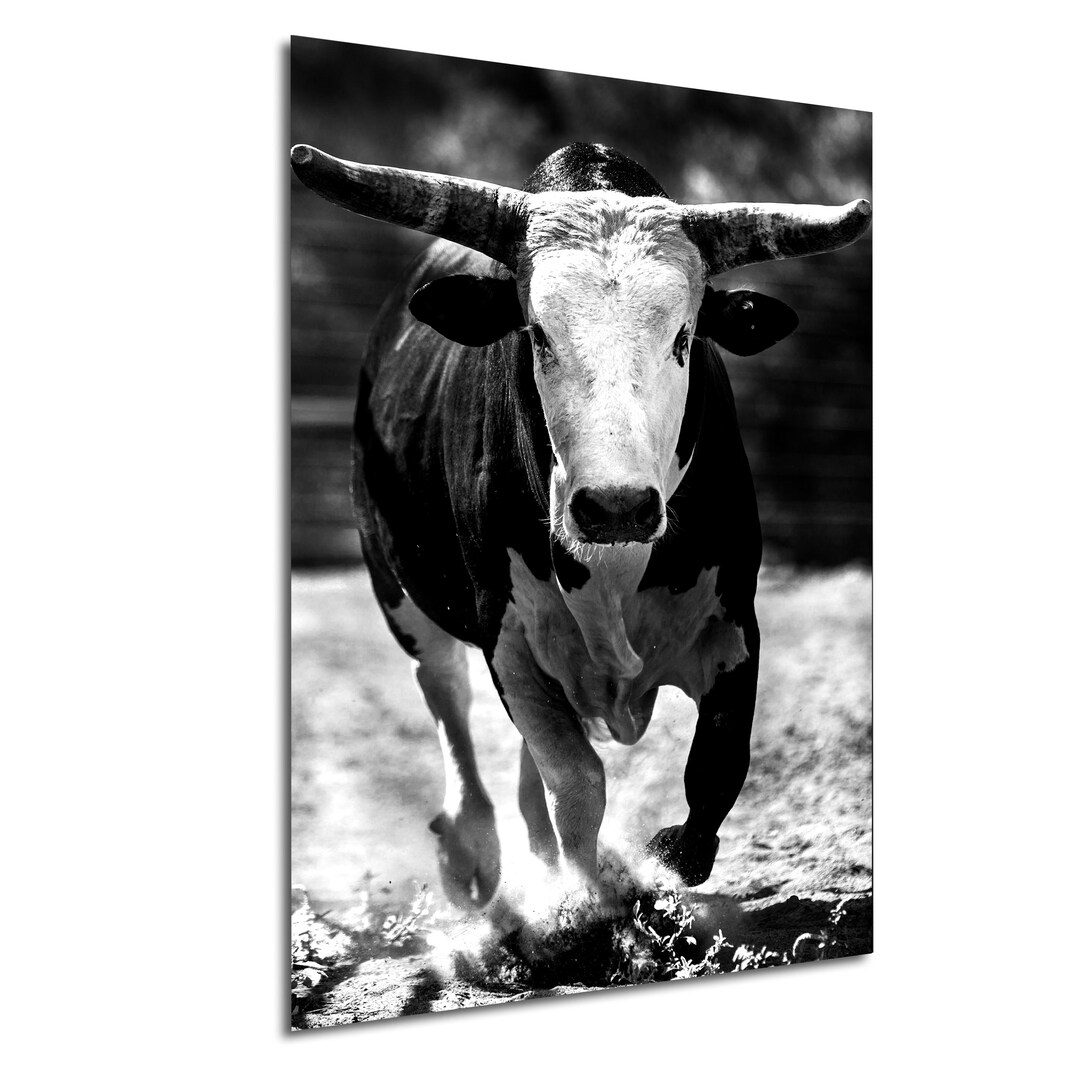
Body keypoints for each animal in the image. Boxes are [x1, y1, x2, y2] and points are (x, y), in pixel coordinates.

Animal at [291, 141, 871, 908]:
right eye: (538, 334)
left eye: (685, 336)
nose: (617, 505)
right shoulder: (505, 635)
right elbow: (576, 782)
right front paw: (587, 907)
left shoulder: (734, 620)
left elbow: (716, 769)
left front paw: (663, 861)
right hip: (398, 586)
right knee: (445, 691)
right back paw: (472, 853)